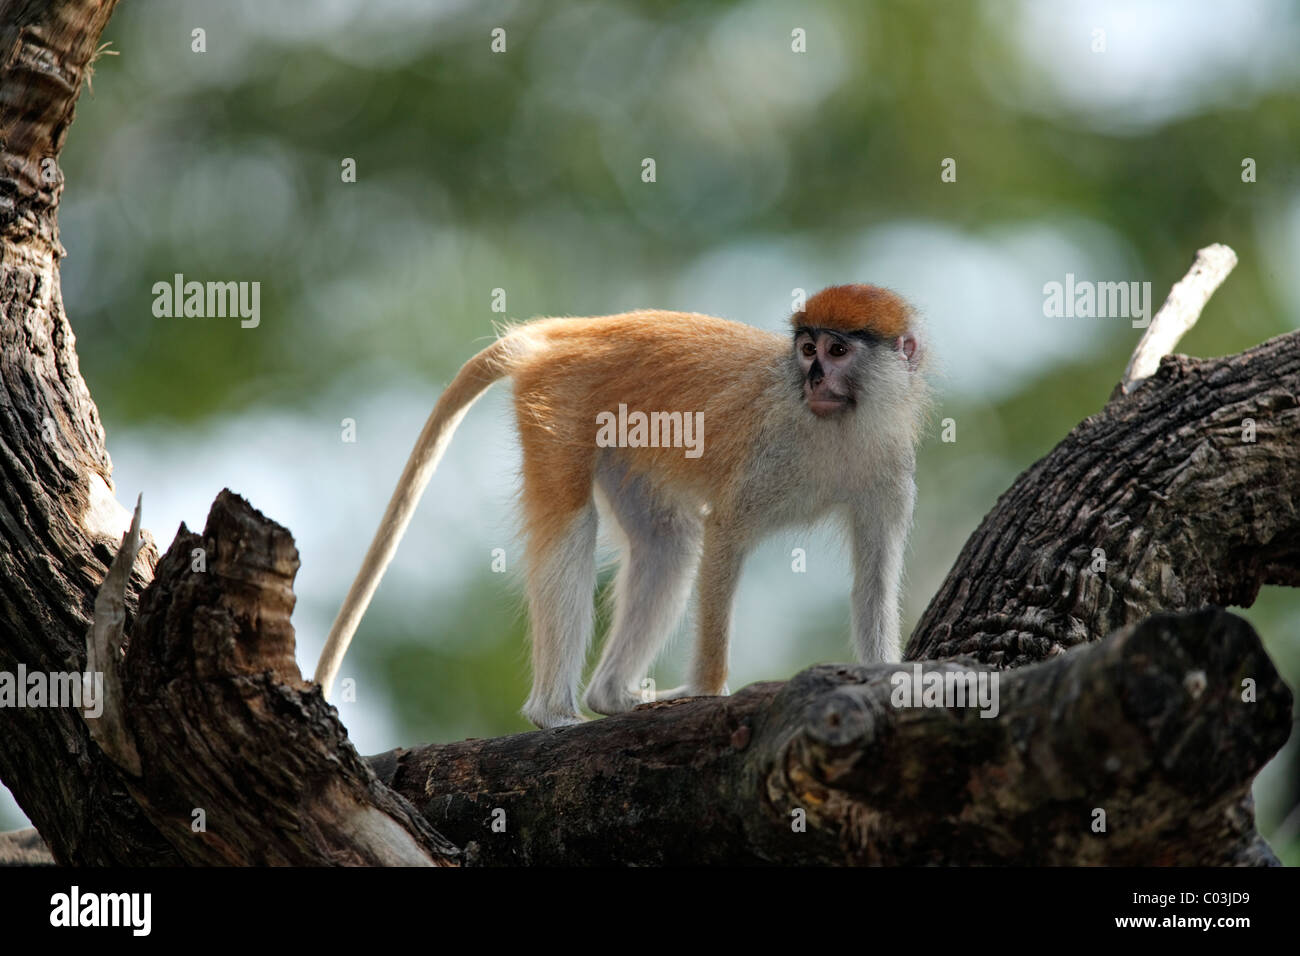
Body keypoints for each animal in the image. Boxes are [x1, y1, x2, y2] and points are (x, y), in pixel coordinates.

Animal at [314, 283, 928, 729]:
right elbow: (725, 535)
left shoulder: (889, 478)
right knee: (571, 525)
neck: (836, 426)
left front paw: (884, 676)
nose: (814, 377)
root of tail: (566, 333)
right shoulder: (770, 455)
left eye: (837, 349)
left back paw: (611, 697)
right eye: (807, 348)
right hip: (558, 402)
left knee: (667, 543)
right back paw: (554, 714)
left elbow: (873, 581)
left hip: (624, 442)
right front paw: (708, 689)